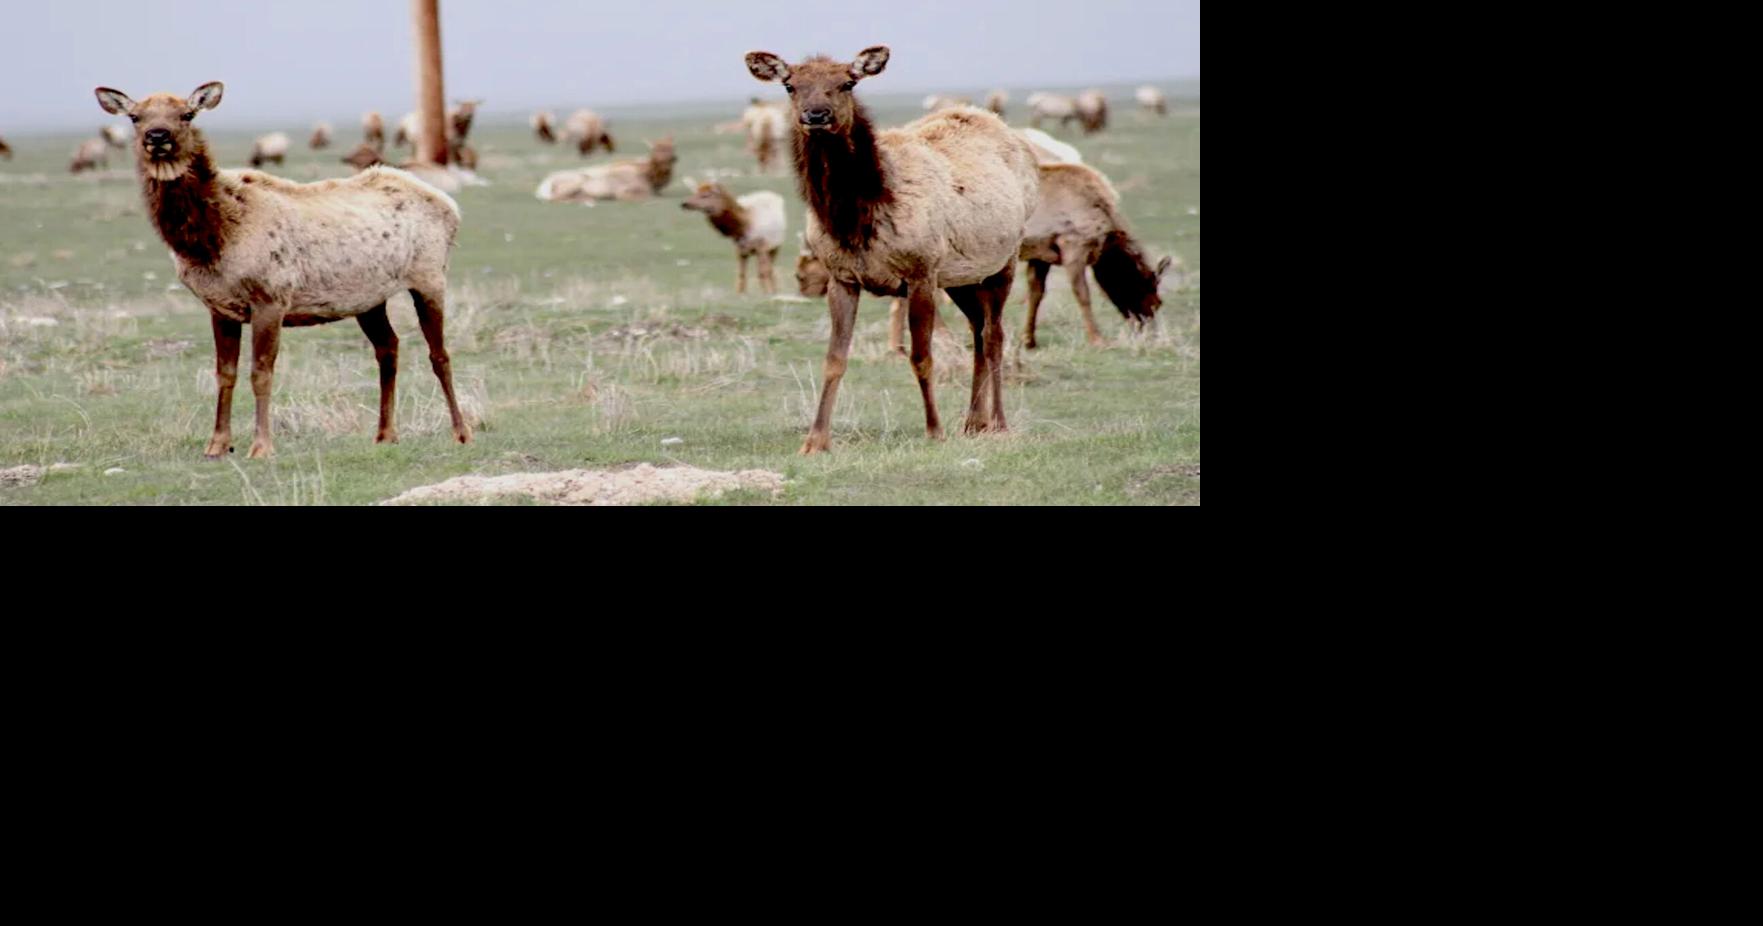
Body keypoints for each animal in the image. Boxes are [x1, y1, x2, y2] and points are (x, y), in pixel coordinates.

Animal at [96, 81, 471, 459]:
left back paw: (461, 431)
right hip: (369, 299)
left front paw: (261, 445)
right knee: (389, 348)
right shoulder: (220, 307)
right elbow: (225, 373)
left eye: (187, 114)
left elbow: (260, 371)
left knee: (439, 353)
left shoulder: (271, 298)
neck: (210, 242)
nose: (157, 136)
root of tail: (452, 207)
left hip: (430, 278)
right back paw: (385, 434)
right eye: (135, 116)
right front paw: (217, 444)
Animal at [746, 46, 1040, 453]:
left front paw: (934, 429)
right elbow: (834, 358)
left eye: (847, 83)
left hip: (1003, 260)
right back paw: (973, 422)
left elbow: (921, 356)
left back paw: (997, 422)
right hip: (961, 276)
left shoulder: (920, 272)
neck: (855, 217)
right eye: (790, 85)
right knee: (978, 331)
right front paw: (815, 440)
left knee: (994, 335)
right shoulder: (842, 278)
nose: (816, 115)